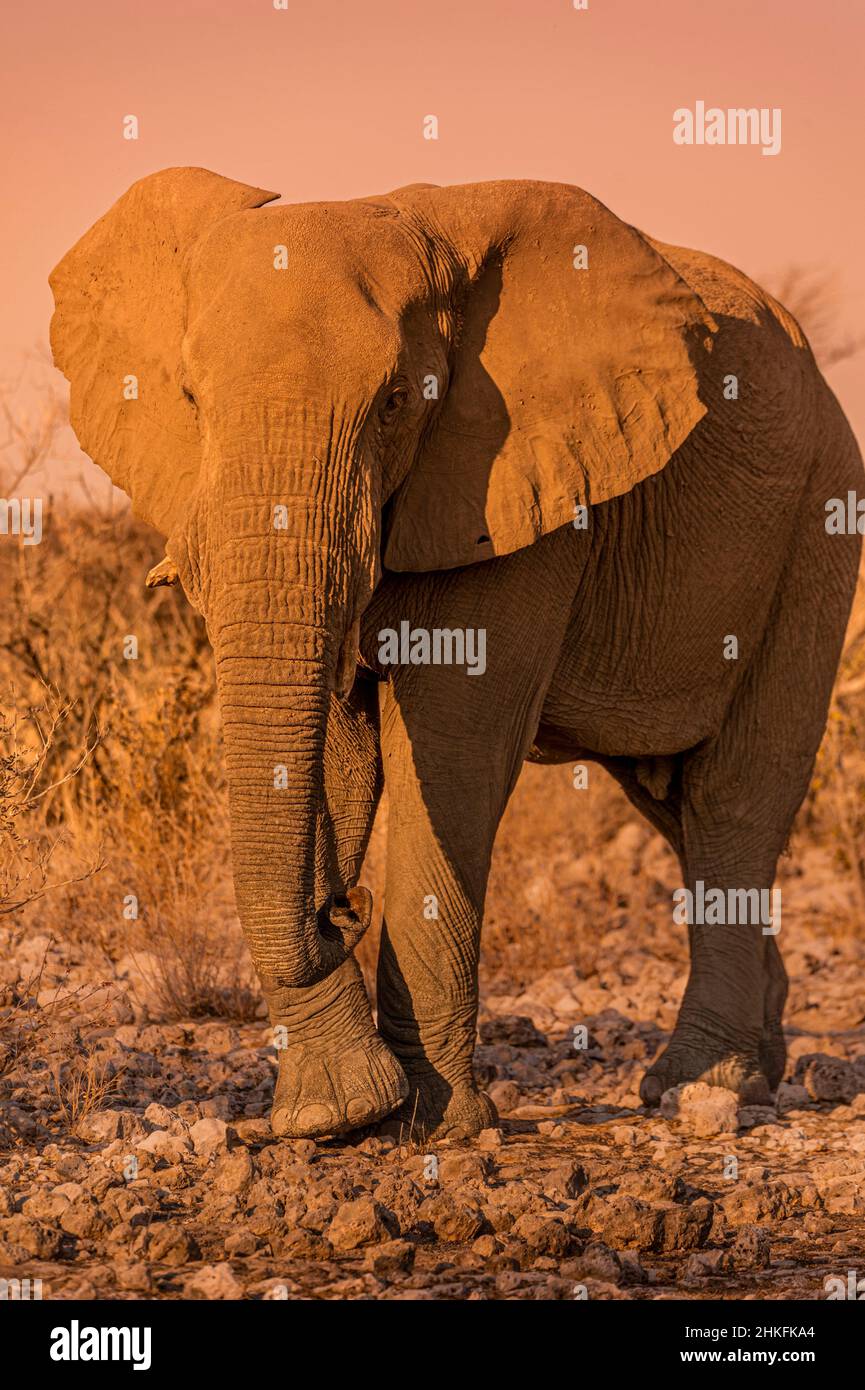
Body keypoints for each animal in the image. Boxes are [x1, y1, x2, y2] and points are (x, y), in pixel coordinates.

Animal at [50, 167, 863, 1140]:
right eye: (192, 402)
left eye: (397, 402)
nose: (341, 908)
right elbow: (338, 747)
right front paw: (334, 1116)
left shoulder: (517, 477)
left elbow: (450, 746)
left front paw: (433, 1125)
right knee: (670, 800)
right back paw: (760, 1063)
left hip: (818, 519)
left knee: (732, 798)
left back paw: (705, 1086)